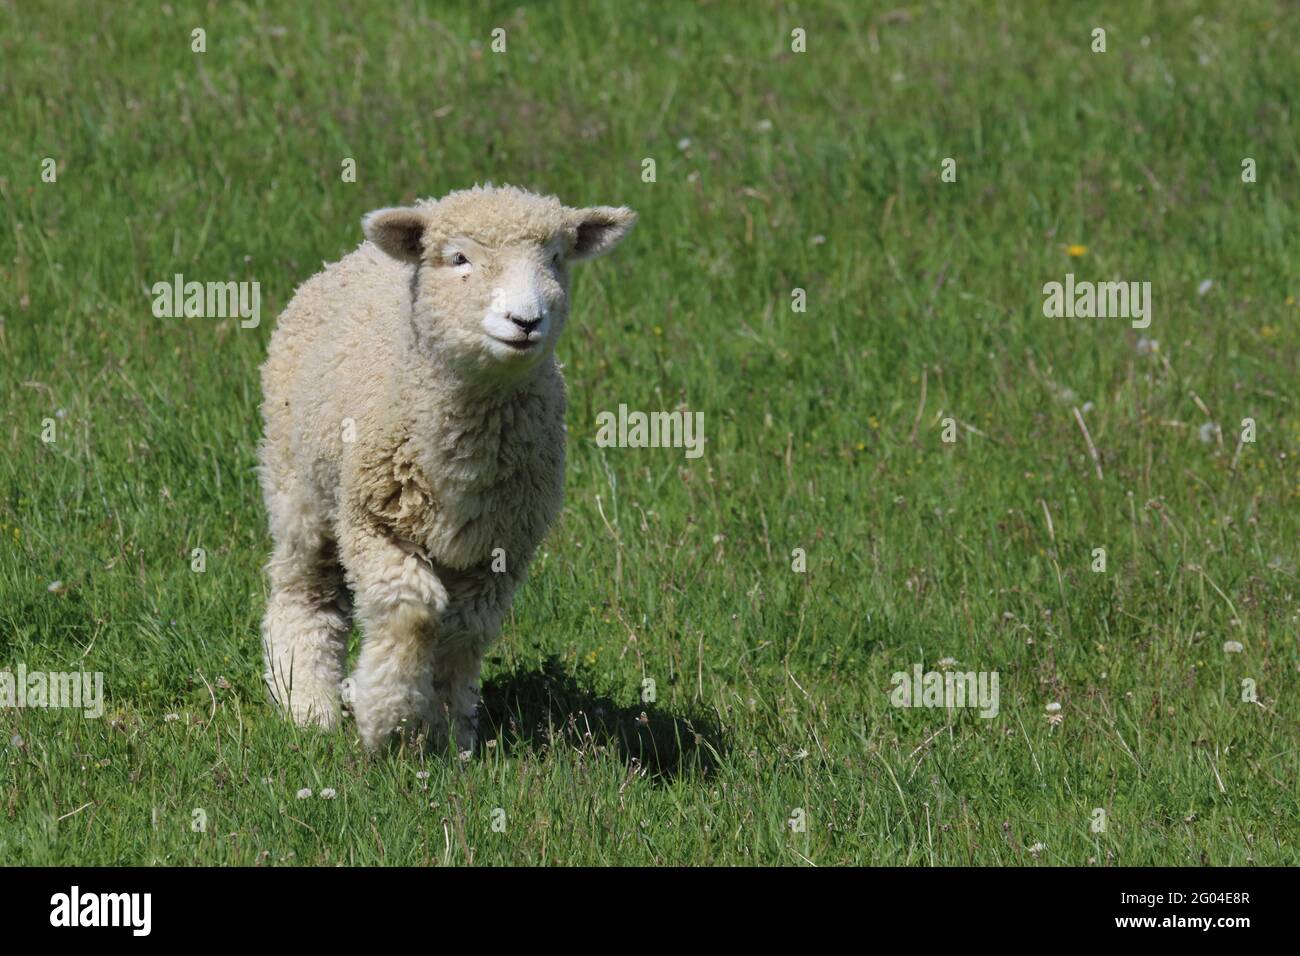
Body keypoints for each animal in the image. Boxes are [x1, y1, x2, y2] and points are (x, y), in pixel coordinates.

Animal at [257, 184, 636, 753]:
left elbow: (462, 631)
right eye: (459, 258)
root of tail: (356, 256)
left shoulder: (499, 549)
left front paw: (444, 731)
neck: (462, 465)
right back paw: (305, 702)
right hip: (299, 485)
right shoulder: (373, 522)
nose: (526, 321)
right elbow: (412, 613)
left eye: (555, 259)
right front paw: (384, 717)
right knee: (306, 591)